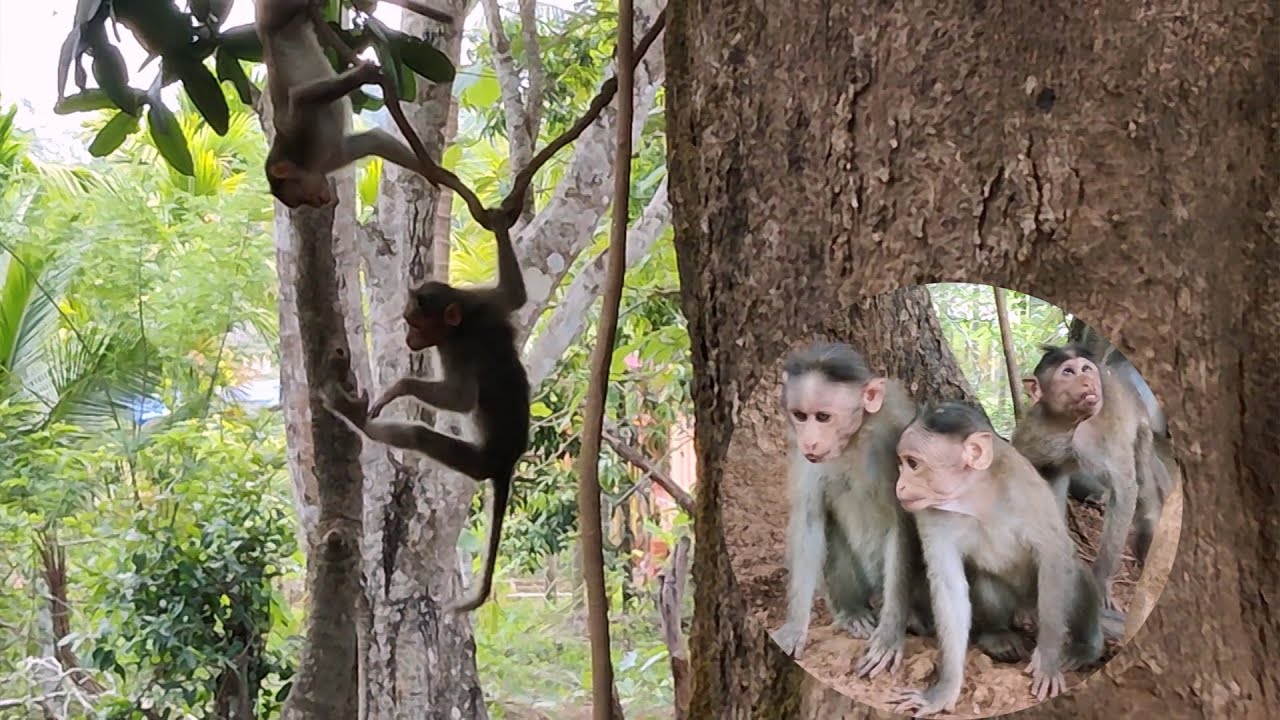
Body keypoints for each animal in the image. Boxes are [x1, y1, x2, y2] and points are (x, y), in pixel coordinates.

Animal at [256, 0, 428, 208]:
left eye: (303, 197)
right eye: (303, 202)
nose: (321, 202)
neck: (307, 163)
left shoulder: (299, 133)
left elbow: (301, 97)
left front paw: (363, 74)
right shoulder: (332, 159)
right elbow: (375, 141)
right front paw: (435, 174)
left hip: (271, 20)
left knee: (278, 16)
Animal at [322, 225, 529, 612]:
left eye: (413, 323)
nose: (407, 337)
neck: (464, 320)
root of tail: (507, 461)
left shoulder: (457, 348)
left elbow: (461, 399)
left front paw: (398, 388)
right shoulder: (483, 302)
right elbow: (514, 295)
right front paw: (499, 225)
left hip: (476, 461)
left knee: (420, 438)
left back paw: (355, 417)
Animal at [768, 341, 934, 679]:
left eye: (823, 417)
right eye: (800, 416)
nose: (810, 441)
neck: (855, 439)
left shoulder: (897, 436)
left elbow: (904, 525)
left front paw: (890, 635)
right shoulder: (805, 459)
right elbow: (810, 519)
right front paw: (794, 627)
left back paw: (913, 619)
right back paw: (852, 612)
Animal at [890, 401, 1123, 717]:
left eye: (913, 464)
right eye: (902, 463)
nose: (900, 486)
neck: (974, 496)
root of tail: (1026, 611)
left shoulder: (1025, 488)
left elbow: (1054, 554)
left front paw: (1048, 660)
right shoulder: (930, 513)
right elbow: (950, 587)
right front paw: (944, 690)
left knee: (1072, 571)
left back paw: (1086, 646)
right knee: (982, 578)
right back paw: (998, 636)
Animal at [1010, 344, 1169, 611]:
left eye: (1086, 369)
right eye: (1068, 372)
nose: (1088, 382)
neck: (1066, 424)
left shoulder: (1099, 438)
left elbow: (1124, 490)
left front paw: (1101, 581)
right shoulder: (1034, 431)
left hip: (1143, 431)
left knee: (1143, 482)